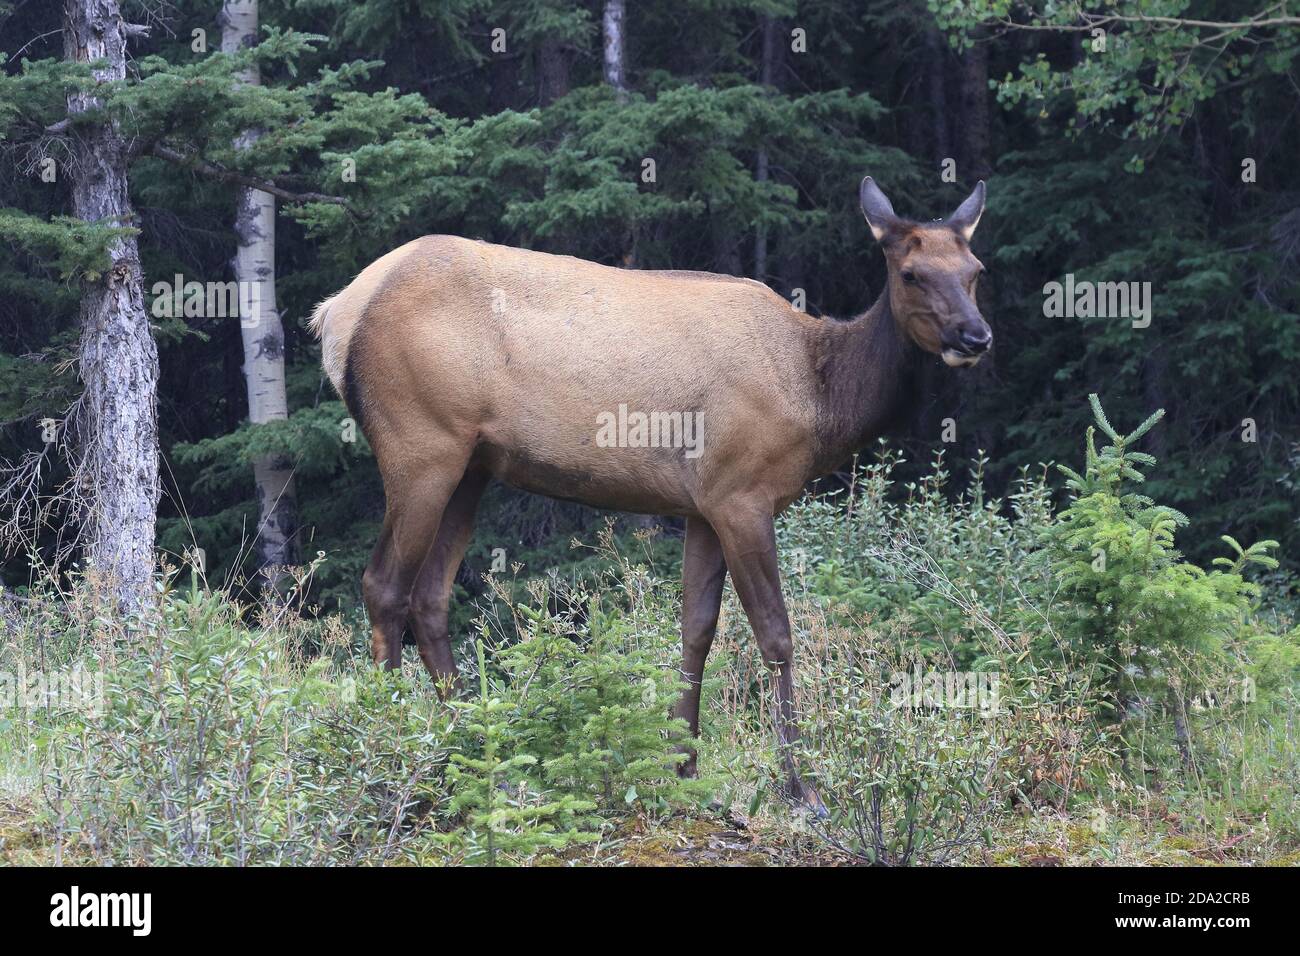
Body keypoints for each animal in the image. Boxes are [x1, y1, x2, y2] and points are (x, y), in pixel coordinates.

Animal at [310, 177, 991, 811]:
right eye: (910, 273)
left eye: (975, 271)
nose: (975, 336)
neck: (820, 394)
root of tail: (337, 314)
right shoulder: (742, 493)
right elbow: (775, 634)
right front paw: (800, 788)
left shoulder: (704, 504)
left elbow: (696, 628)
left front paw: (683, 767)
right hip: (421, 443)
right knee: (384, 586)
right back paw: (392, 751)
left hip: (470, 466)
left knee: (430, 597)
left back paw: (482, 763)